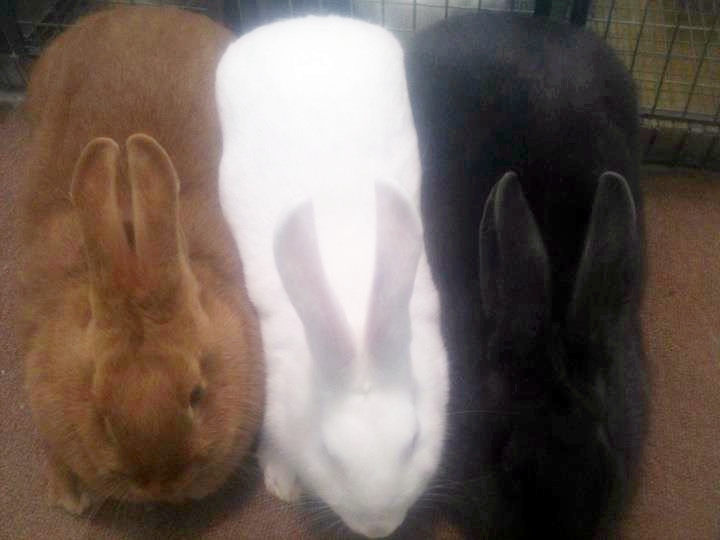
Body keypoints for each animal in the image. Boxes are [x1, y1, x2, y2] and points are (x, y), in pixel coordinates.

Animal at [215, 16, 449, 539]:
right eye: (329, 451)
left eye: (413, 439)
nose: (380, 526)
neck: (355, 309)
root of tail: (306, 23)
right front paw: (282, 483)